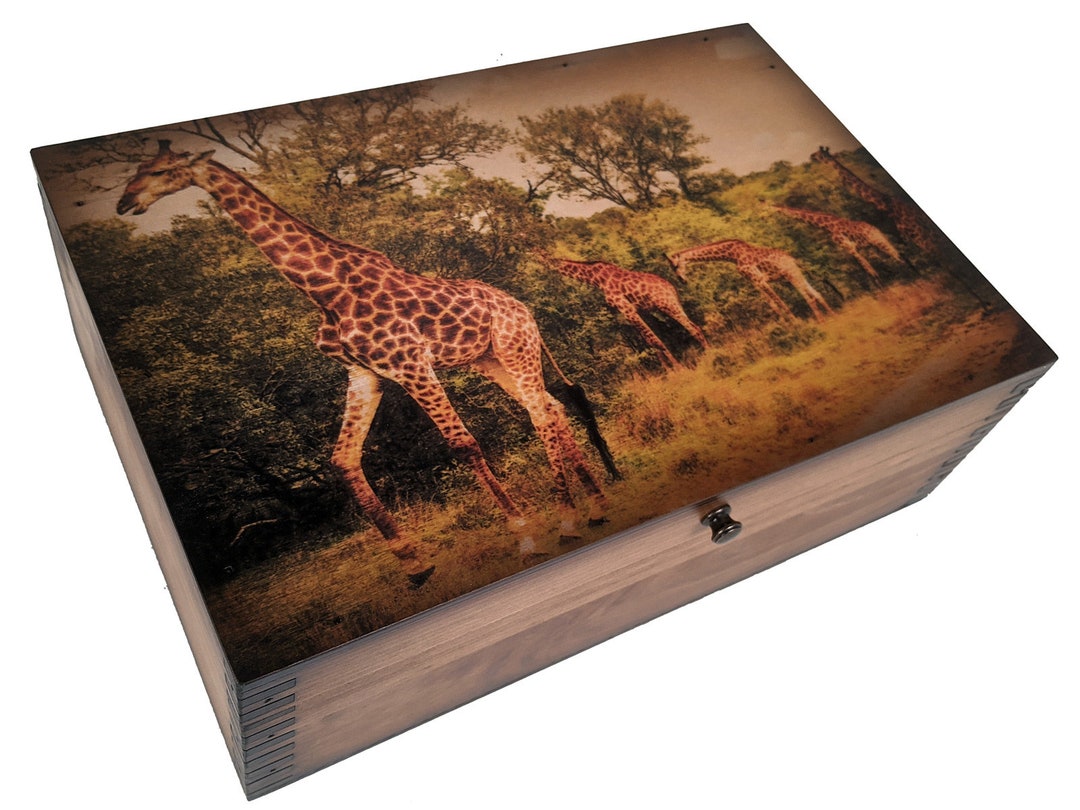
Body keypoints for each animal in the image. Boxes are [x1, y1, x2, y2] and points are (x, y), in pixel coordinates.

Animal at [117, 141, 612, 587]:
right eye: (137, 168)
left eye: (162, 171)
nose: (125, 203)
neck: (326, 290)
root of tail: (524, 308)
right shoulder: (364, 373)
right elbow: (342, 460)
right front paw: (414, 564)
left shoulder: (410, 362)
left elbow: (462, 444)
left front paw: (525, 536)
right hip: (489, 359)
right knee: (549, 407)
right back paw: (596, 506)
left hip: (515, 348)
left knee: (540, 412)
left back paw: (568, 518)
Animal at [534, 250, 709, 369]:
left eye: (538, 258)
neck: (596, 279)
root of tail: (671, 287)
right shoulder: (628, 311)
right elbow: (649, 342)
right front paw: (669, 371)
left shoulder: (626, 308)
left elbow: (655, 340)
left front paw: (678, 369)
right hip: (673, 304)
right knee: (695, 326)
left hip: (666, 305)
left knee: (692, 328)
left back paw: (709, 353)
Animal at [666, 239, 833, 322]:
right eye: (673, 269)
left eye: (676, 266)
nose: (682, 280)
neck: (732, 256)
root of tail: (792, 258)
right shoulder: (754, 282)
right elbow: (773, 305)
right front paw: (786, 325)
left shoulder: (760, 279)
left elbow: (779, 302)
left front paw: (796, 323)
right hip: (794, 275)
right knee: (816, 293)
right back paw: (832, 315)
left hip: (791, 275)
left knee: (809, 297)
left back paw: (821, 320)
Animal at [769, 203, 903, 285]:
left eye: (773, 209)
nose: (770, 215)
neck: (828, 226)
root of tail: (874, 229)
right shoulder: (850, 250)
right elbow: (867, 270)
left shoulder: (850, 247)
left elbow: (869, 269)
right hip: (880, 242)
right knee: (896, 253)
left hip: (878, 242)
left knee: (896, 256)